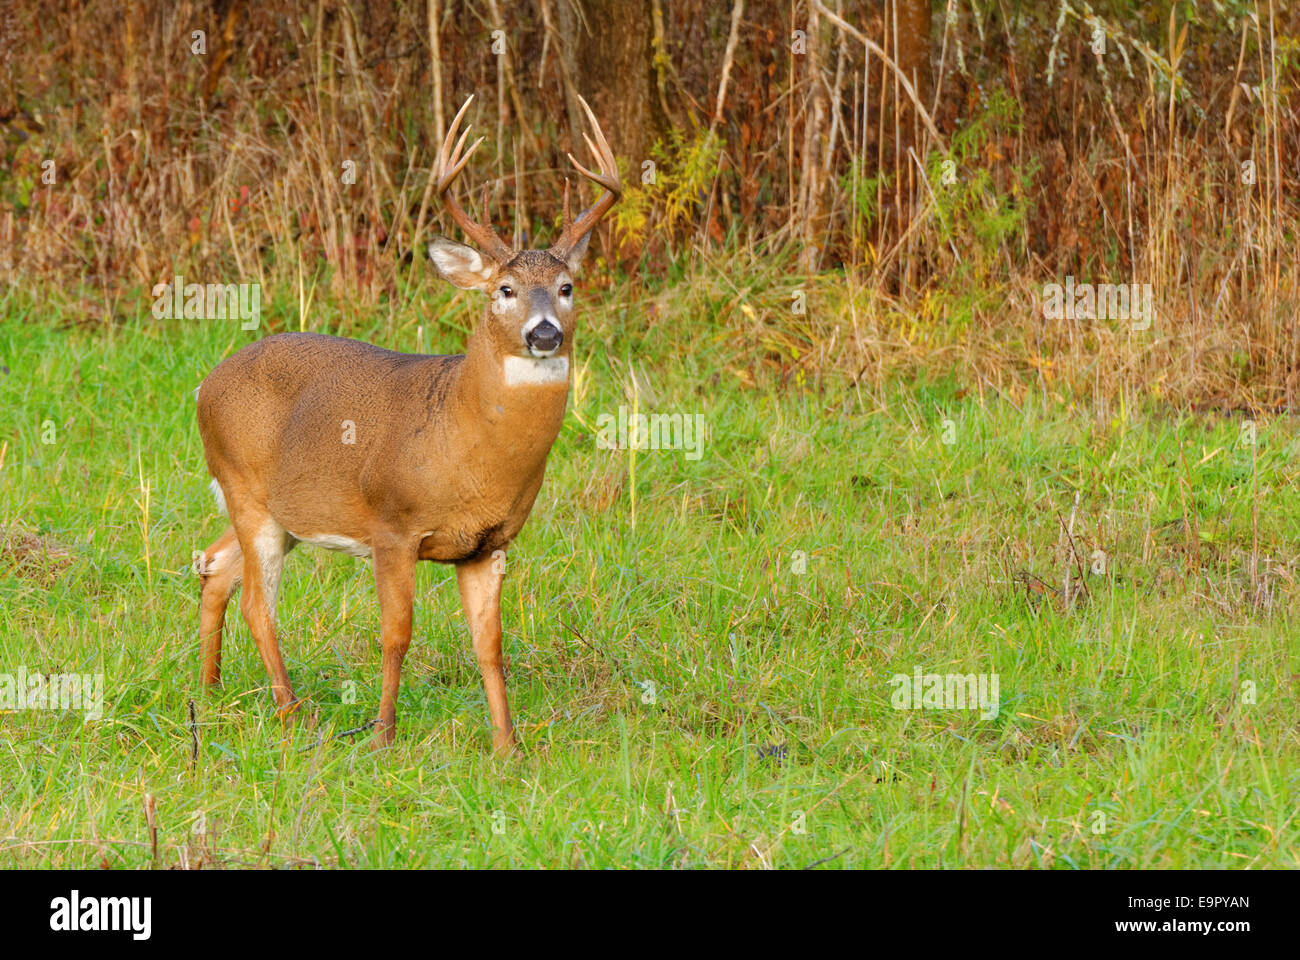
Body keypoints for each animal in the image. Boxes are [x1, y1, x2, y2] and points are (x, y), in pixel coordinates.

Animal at [194, 95, 620, 755]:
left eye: (567, 287)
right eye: (504, 289)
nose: (544, 332)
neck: (464, 440)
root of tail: (205, 385)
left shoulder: (488, 544)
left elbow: (490, 647)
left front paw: (507, 747)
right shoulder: (392, 526)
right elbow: (396, 634)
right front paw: (382, 735)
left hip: (281, 512)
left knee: (214, 567)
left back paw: (214, 691)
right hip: (245, 490)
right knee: (258, 606)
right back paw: (293, 714)